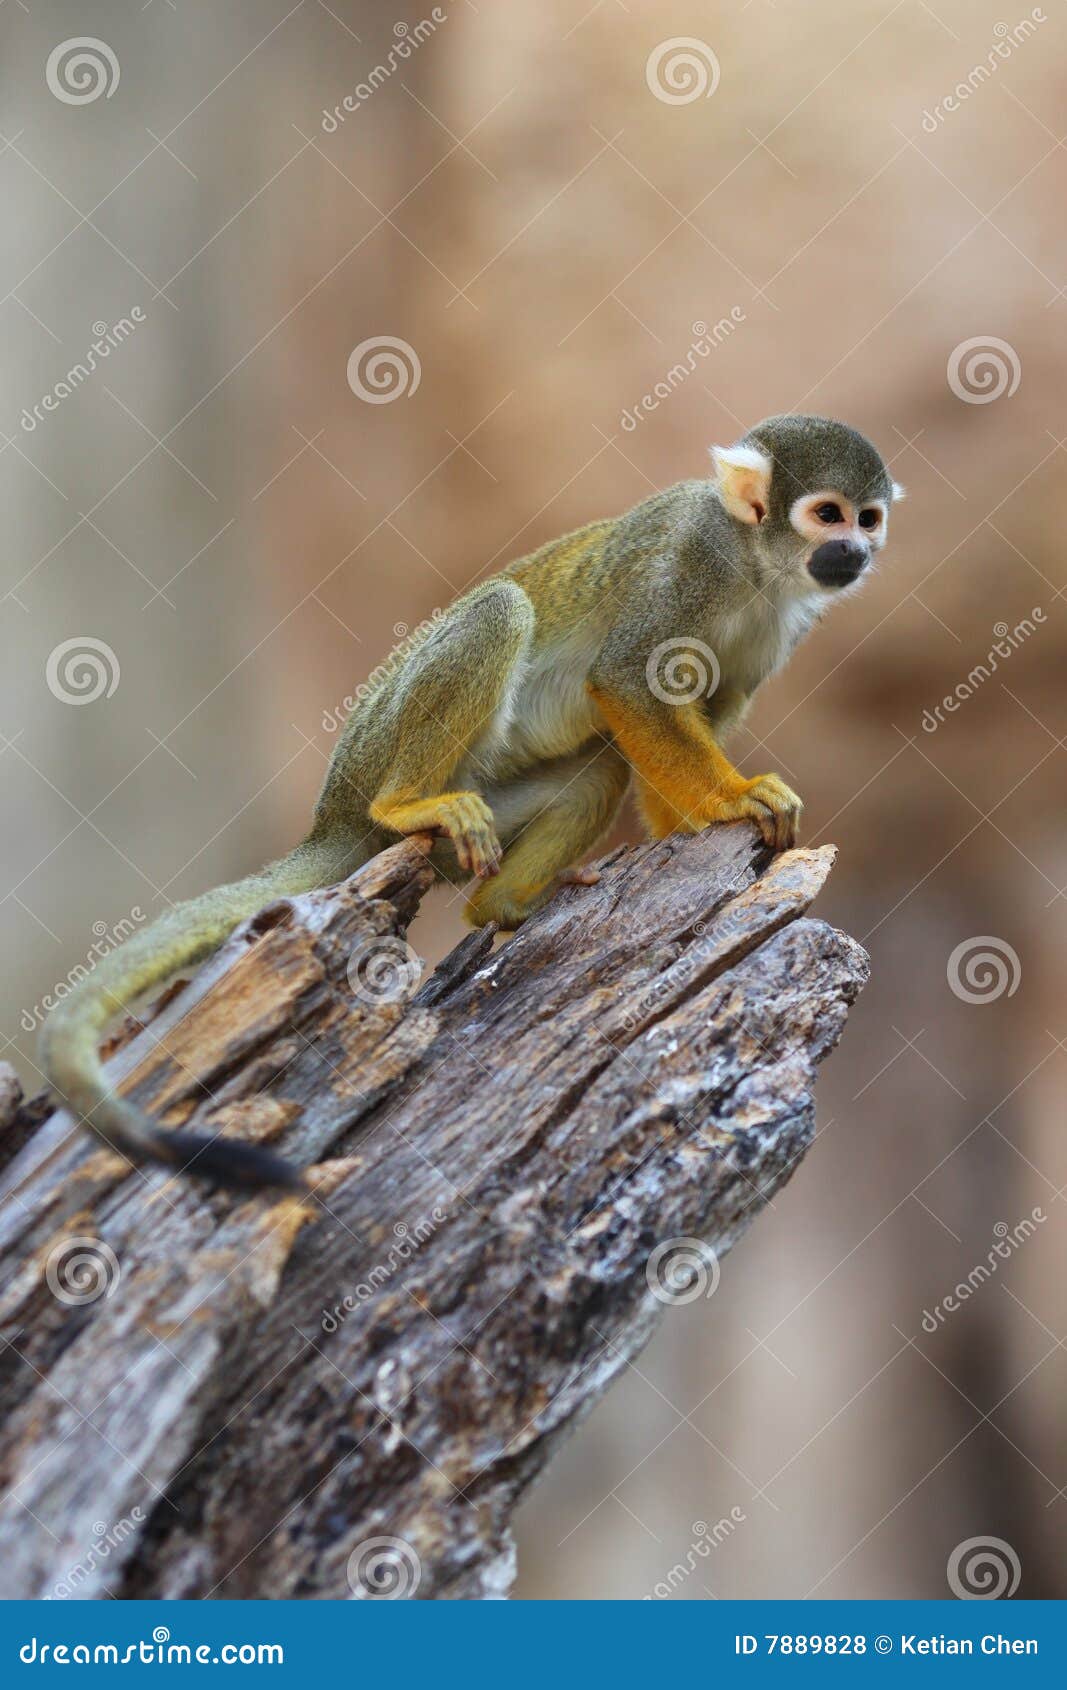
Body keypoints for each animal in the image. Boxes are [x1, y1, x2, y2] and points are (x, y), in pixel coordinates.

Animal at [39, 413, 901, 1193]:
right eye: (826, 514)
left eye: (868, 518)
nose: (856, 552)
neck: (756, 566)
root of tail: (331, 816)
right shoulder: (689, 560)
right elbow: (627, 681)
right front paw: (734, 802)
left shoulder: (781, 628)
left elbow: (679, 720)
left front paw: (692, 821)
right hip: (375, 747)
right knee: (499, 611)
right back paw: (406, 808)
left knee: (593, 771)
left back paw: (504, 903)